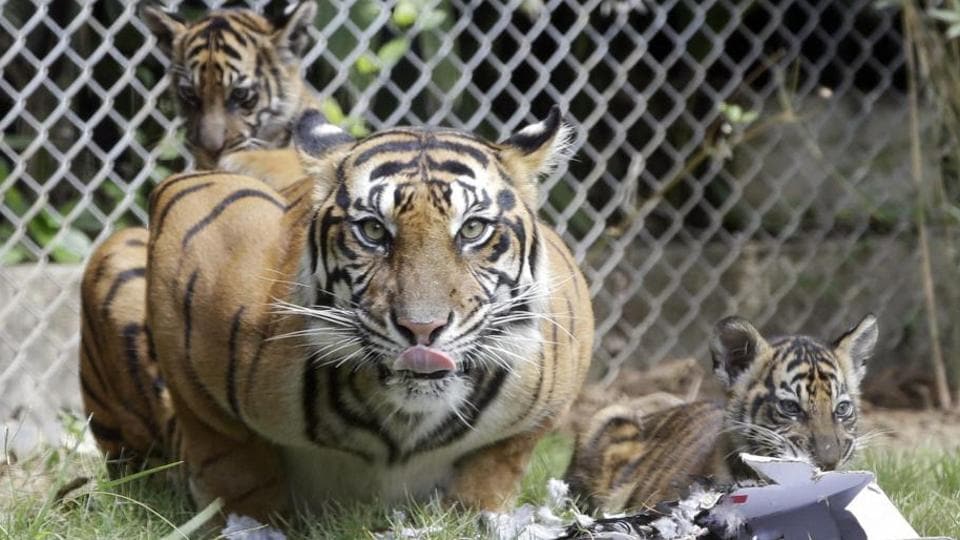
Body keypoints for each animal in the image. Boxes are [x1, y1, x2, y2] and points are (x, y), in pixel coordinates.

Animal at [79, 106, 594, 519]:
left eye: (472, 230)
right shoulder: (191, 220)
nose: (421, 329)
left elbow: (493, 470)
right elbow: (233, 461)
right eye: (373, 230)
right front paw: (250, 524)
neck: (402, 424)